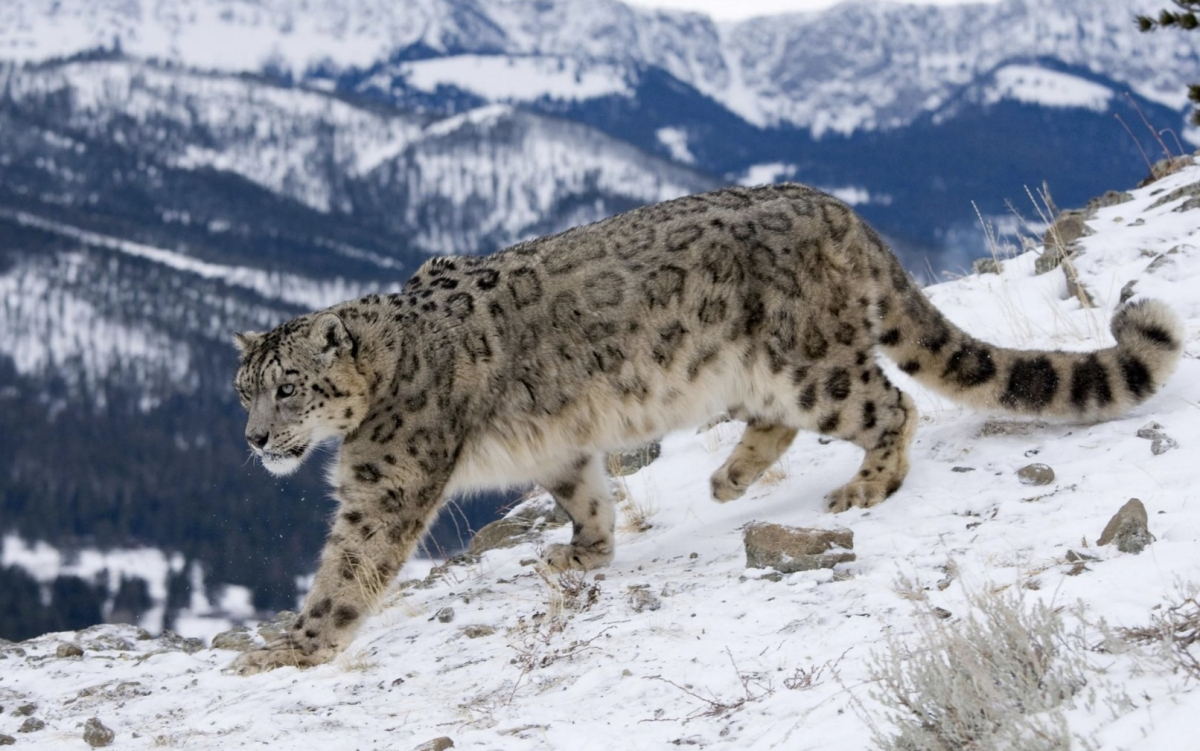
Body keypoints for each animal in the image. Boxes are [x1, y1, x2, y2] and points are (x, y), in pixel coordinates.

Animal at [230, 183, 1183, 674]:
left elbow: (349, 561)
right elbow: (584, 489)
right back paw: (730, 476)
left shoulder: (387, 477)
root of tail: (832, 204)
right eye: (242, 391)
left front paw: (294, 646)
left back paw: (863, 484)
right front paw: (582, 553)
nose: (253, 440)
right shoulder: (561, 445)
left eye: (288, 388)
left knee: (889, 403)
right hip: (764, 370)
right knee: (790, 418)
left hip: (808, 362)